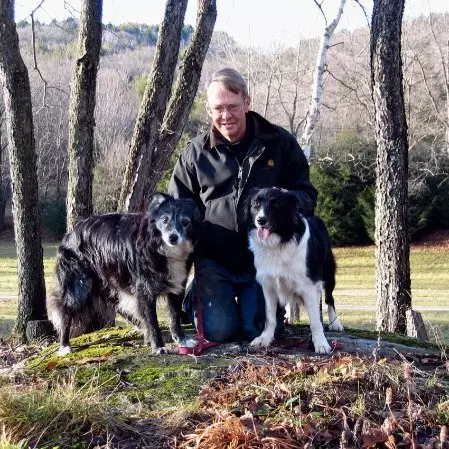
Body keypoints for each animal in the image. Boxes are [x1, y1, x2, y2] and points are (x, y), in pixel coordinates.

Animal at [46, 191, 199, 356]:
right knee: (66, 312)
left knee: (121, 306)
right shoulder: (144, 289)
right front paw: (158, 346)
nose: (173, 237)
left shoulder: (177, 285)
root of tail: (69, 235)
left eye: (185, 222)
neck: (160, 247)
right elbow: (152, 320)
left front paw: (181, 339)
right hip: (79, 286)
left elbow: (174, 315)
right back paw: (64, 345)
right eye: (165, 220)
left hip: (109, 280)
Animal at [245, 186, 344, 354]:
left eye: (275, 204)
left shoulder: (309, 285)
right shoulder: (268, 285)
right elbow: (270, 317)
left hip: (328, 273)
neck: (279, 240)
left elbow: (315, 321)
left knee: (329, 298)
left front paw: (320, 343)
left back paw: (334, 323)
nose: (260, 220)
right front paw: (265, 338)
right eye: (256, 204)